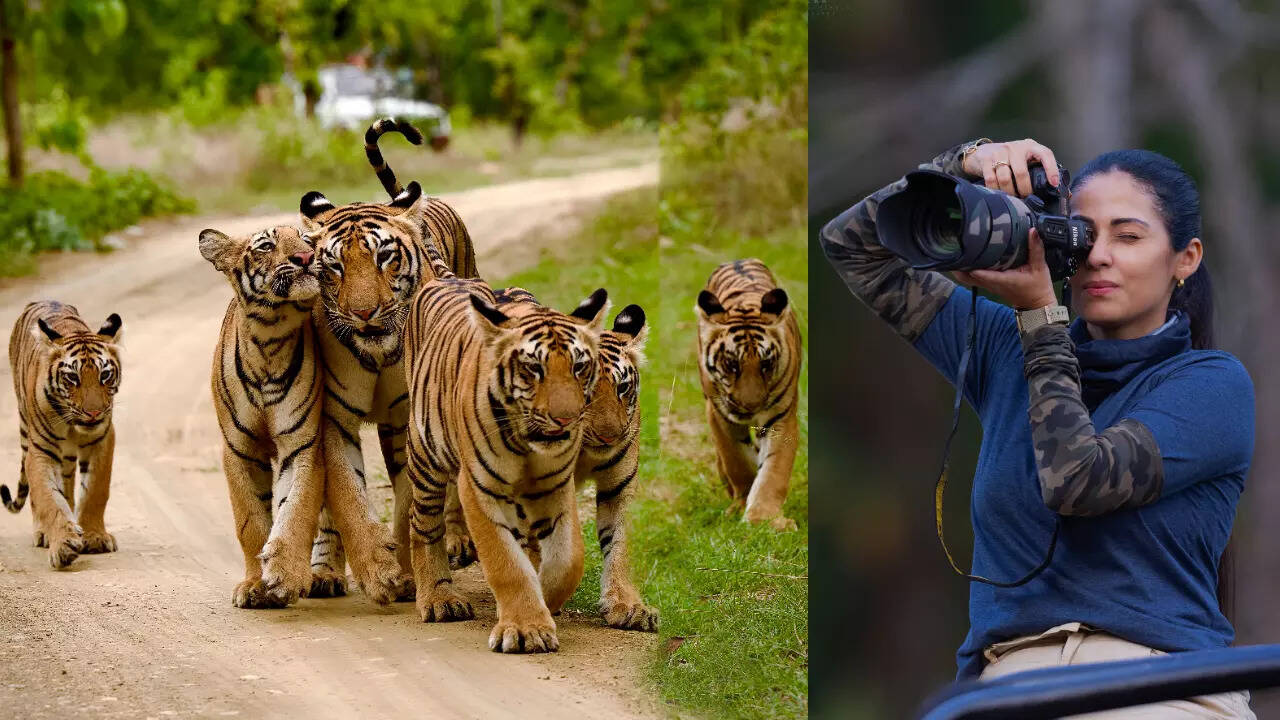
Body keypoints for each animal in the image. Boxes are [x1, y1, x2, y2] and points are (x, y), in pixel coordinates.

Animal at [3, 301, 123, 569]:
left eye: (105, 375)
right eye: (72, 377)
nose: (94, 412)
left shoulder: (101, 441)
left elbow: (95, 491)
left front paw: (94, 537)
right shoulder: (40, 452)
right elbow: (49, 499)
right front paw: (63, 543)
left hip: (67, 456)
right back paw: (43, 532)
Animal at [200, 225, 329, 608]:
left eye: (306, 240)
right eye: (266, 246)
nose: (305, 257)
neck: (271, 337)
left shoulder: (301, 445)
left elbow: (295, 510)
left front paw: (287, 575)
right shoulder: (240, 450)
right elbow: (251, 522)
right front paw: (256, 585)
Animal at [300, 117, 478, 601]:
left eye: (385, 257)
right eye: (334, 267)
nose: (365, 313)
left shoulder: (408, 419)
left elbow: (409, 501)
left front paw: (408, 572)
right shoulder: (334, 418)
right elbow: (346, 497)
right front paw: (376, 570)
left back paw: (456, 541)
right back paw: (324, 574)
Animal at [403, 242, 608, 651]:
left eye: (579, 368)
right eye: (533, 369)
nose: (566, 419)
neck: (527, 447)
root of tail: (450, 278)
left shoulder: (556, 487)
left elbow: (568, 560)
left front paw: (545, 601)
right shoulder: (478, 489)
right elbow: (505, 562)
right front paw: (527, 627)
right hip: (425, 456)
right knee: (424, 525)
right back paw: (438, 598)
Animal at [695, 259, 802, 532]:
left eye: (765, 364)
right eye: (732, 365)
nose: (751, 406)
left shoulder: (781, 417)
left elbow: (773, 470)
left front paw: (763, 518)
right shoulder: (719, 415)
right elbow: (737, 461)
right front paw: (741, 505)